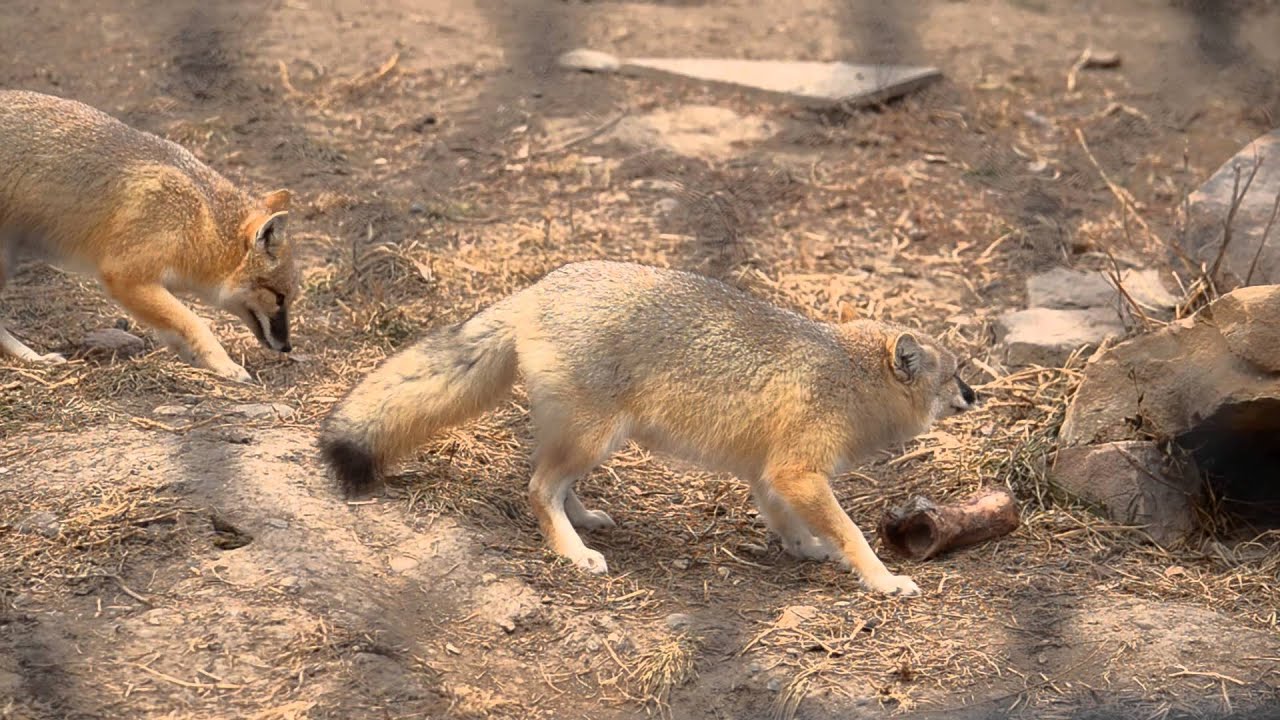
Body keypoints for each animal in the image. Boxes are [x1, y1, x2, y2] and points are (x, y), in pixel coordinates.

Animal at [0, 89, 297, 382]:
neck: (200, 222)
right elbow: (195, 322)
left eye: (288, 299)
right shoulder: (126, 278)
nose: (287, 347)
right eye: (279, 298)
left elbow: (178, 331)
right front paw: (225, 365)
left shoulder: (152, 287)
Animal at [320, 261, 976, 596]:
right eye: (957, 373)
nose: (977, 395)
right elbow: (854, 533)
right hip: (595, 436)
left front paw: (807, 548)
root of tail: (540, 287)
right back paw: (574, 553)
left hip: (590, 440)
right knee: (536, 487)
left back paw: (584, 521)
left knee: (551, 481)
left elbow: (788, 523)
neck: (848, 373)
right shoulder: (798, 471)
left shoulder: (771, 474)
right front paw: (883, 579)